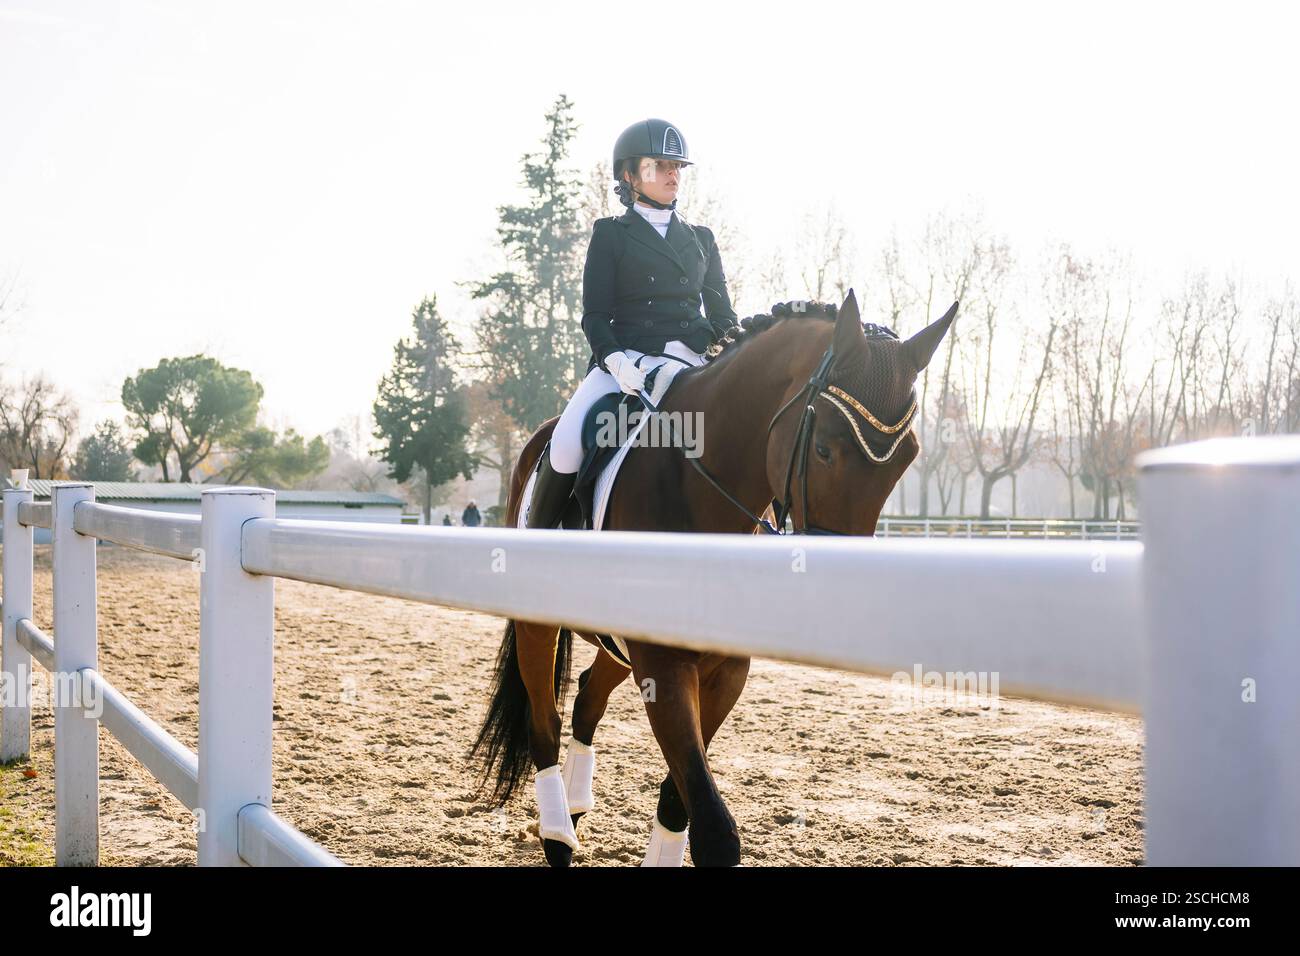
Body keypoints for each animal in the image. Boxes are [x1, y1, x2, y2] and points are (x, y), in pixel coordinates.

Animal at [471, 288, 958, 866]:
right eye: (823, 448)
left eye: (906, 460)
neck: (696, 483)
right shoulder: (664, 665)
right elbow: (712, 826)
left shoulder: (725, 669)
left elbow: (680, 797)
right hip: (539, 625)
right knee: (542, 722)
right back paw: (557, 833)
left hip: (617, 642)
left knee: (589, 695)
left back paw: (577, 803)